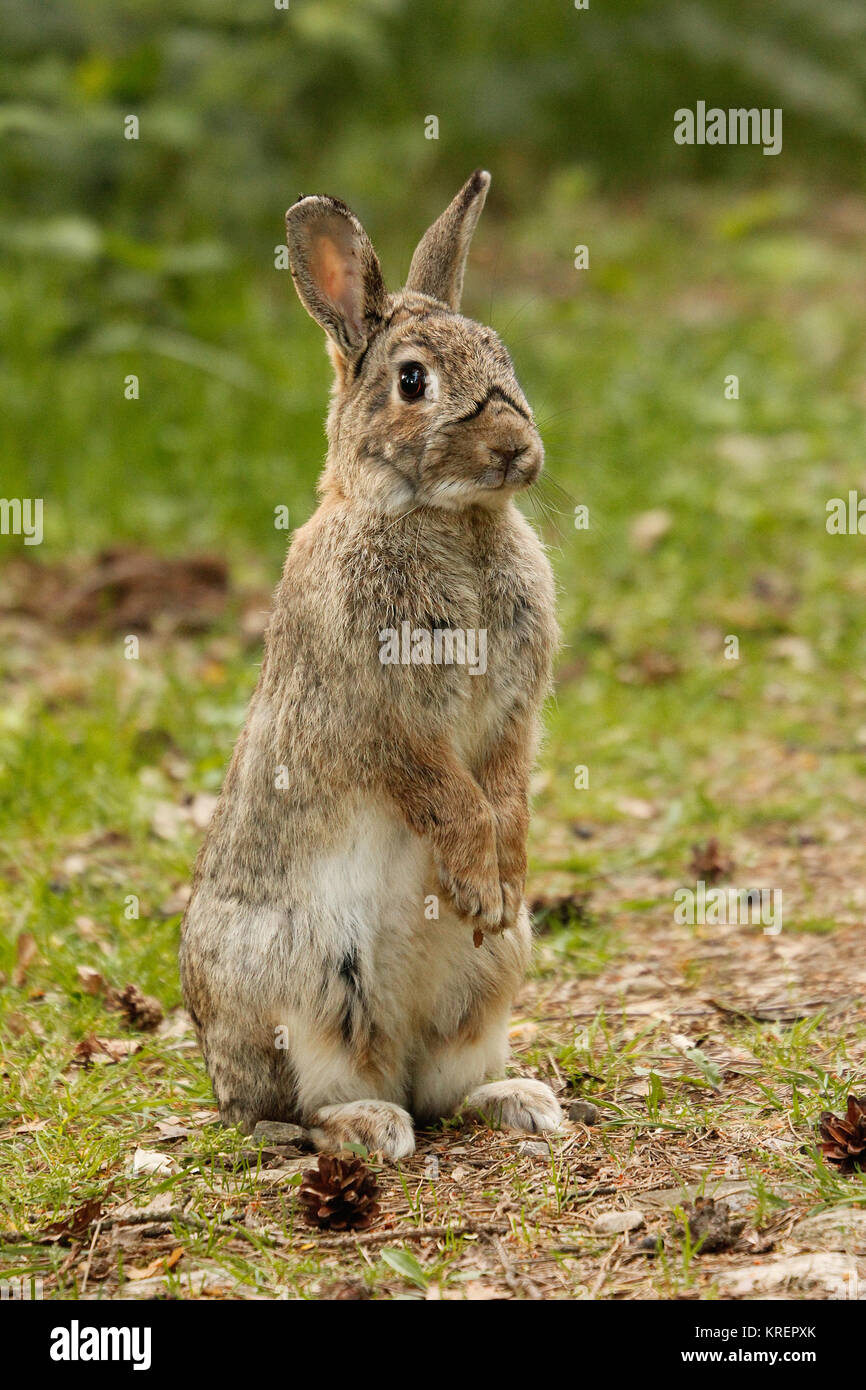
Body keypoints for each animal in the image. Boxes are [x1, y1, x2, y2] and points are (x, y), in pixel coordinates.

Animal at [179, 170, 561, 1160]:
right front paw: (477, 880)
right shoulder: (382, 716)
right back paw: (372, 1124)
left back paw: (522, 1099)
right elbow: (447, 794)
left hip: (490, 983)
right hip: (302, 978)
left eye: (503, 356)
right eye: (413, 380)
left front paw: (504, 877)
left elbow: (503, 788)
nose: (517, 451)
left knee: (449, 1082)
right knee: (309, 1106)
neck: (444, 518)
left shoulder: (514, 716)